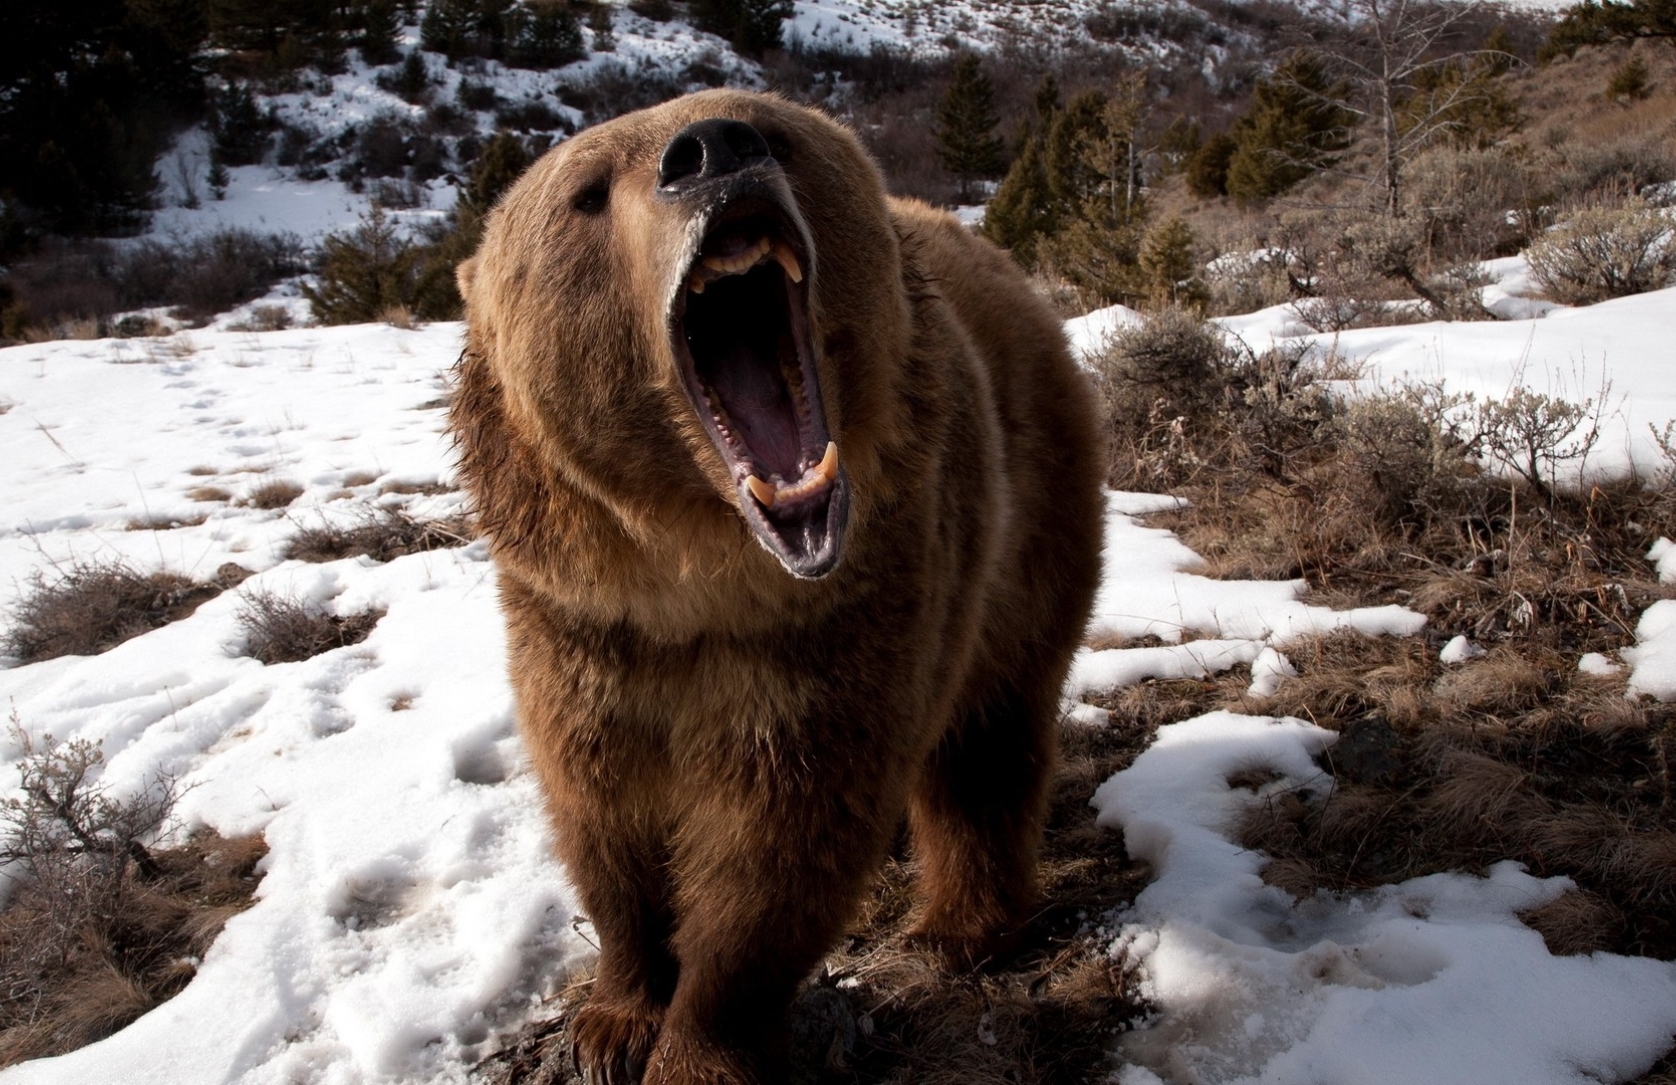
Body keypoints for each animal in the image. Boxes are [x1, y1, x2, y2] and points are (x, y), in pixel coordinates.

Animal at [449, 89, 1105, 1085]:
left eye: (772, 129)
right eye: (586, 192)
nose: (713, 150)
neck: (697, 578)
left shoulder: (833, 625)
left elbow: (779, 845)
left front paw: (696, 1047)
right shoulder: (581, 628)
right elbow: (603, 815)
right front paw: (614, 1017)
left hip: (1026, 520)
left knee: (988, 734)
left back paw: (958, 926)